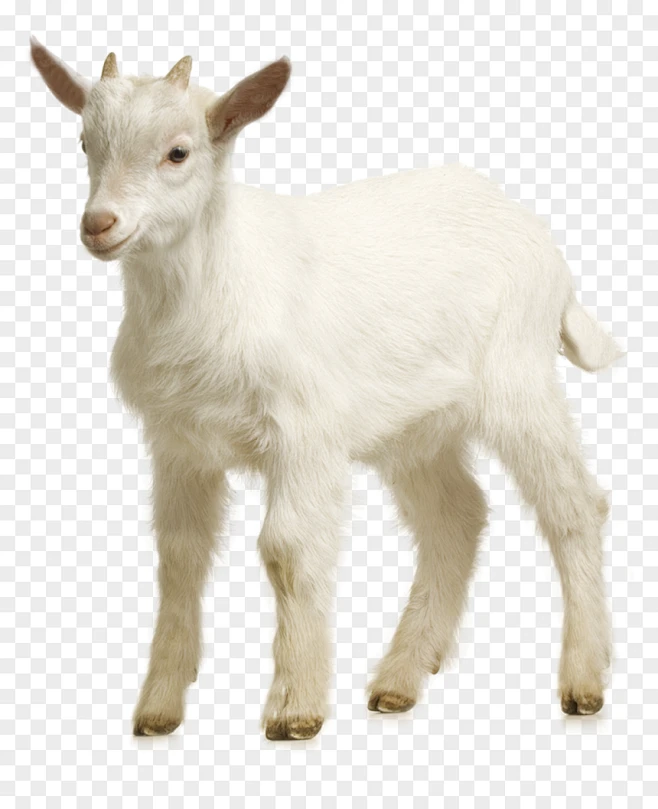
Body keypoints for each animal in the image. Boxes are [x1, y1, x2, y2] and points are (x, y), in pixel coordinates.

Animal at [30, 37, 624, 741]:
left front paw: (296, 709)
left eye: (178, 152)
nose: (99, 223)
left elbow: (286, 549)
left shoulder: (303, 432)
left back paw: (583, 680)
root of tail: (541, 242)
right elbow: (179, 557)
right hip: (415, 424)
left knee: (574, 506)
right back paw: (400, 680)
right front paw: (158, 707)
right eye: (84, 143)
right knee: (455, 515)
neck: (217, 284)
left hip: (519, 378)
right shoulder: (179, 442)